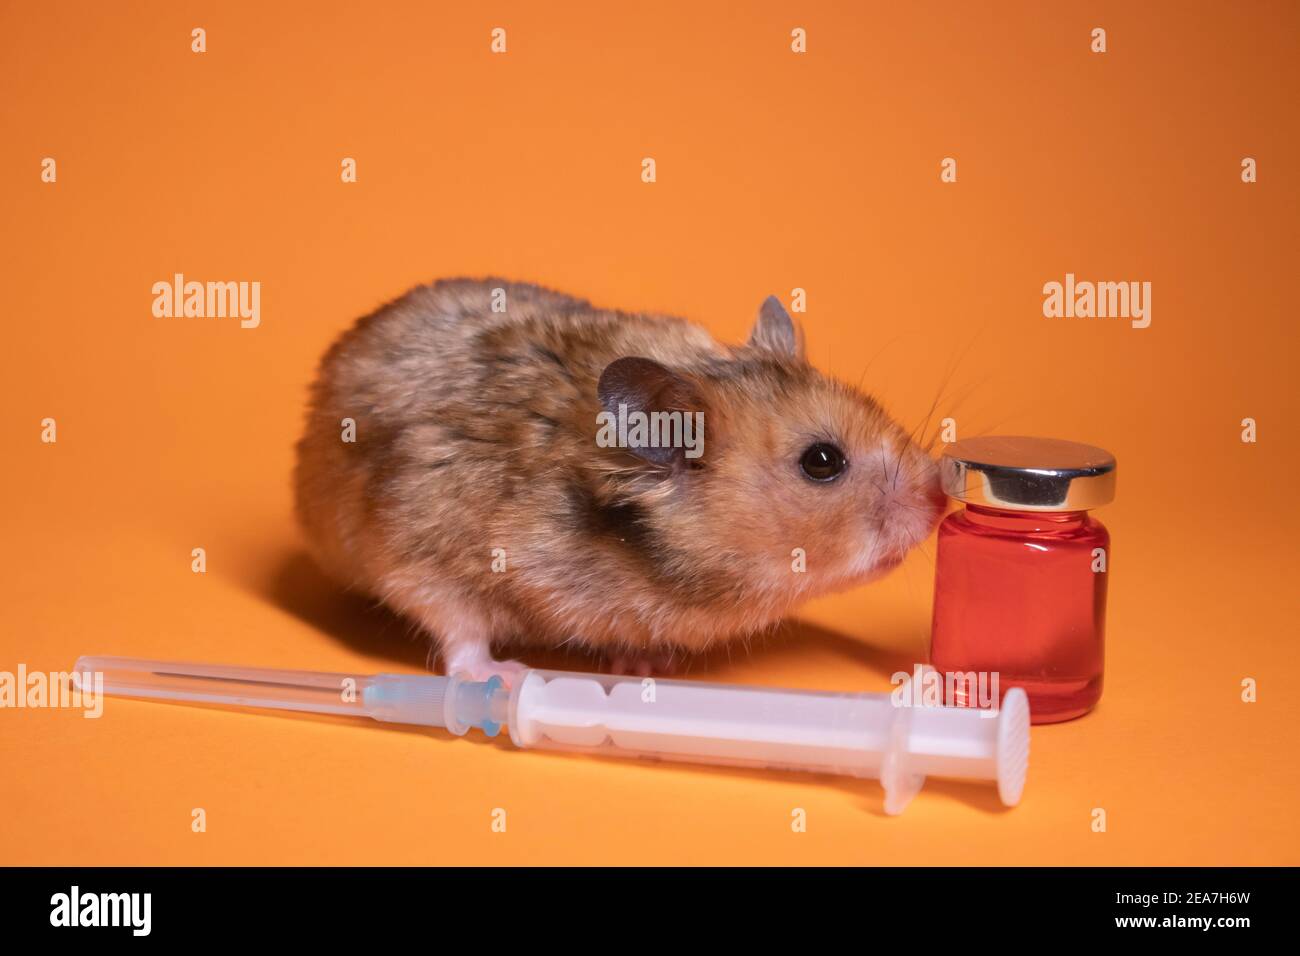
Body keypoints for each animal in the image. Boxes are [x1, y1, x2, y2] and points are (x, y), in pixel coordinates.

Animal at [294, 278, 943, 681]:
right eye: (822, 462)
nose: (941, 496)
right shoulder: (423, 550)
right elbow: (460, 629)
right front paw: (505, 679)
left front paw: (649, 666)